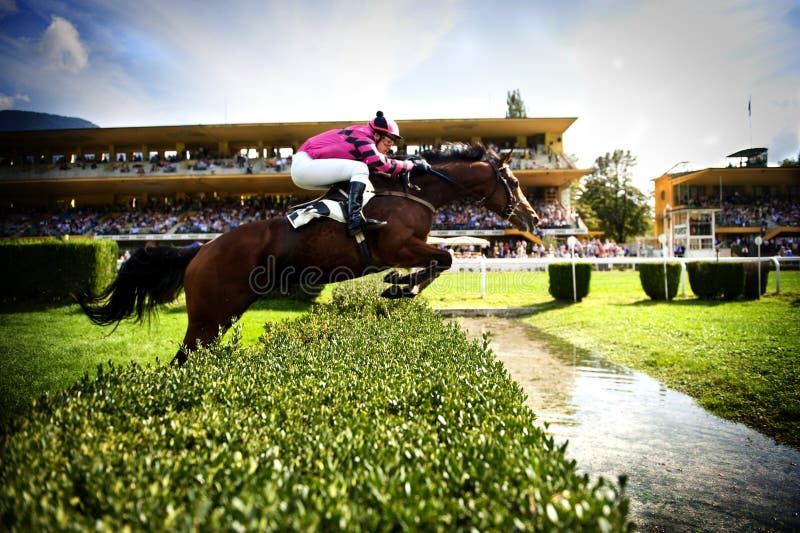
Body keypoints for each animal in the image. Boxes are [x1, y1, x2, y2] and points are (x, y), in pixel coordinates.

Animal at [77, 144, 539, 365]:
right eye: (515, 182)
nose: (533, 218)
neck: (410, 191)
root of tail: (198, 250)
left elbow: (442, 258)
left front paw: (398, 283)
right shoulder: (395, 244)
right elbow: (445, 257)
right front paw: (400, 287)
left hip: (220, 317)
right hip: (208, 319)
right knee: (181, 362)